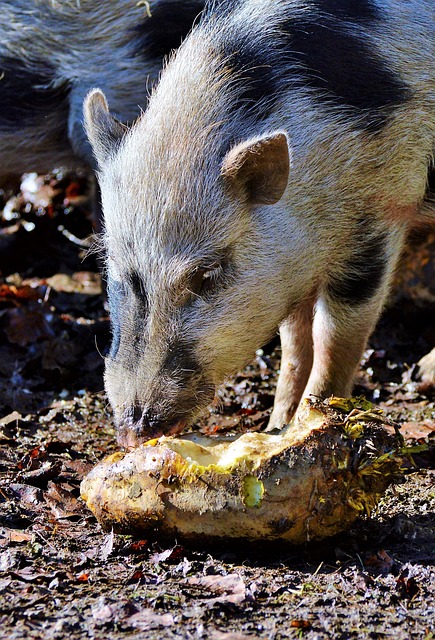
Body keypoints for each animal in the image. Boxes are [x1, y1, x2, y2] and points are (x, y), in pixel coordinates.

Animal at [84, 0, 435, 448]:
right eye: (116, 269)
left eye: (206, 274)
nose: (132, 433)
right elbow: (295, 342)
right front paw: (276, 426)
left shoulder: (380, 209)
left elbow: (333, 338)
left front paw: (312, 417)